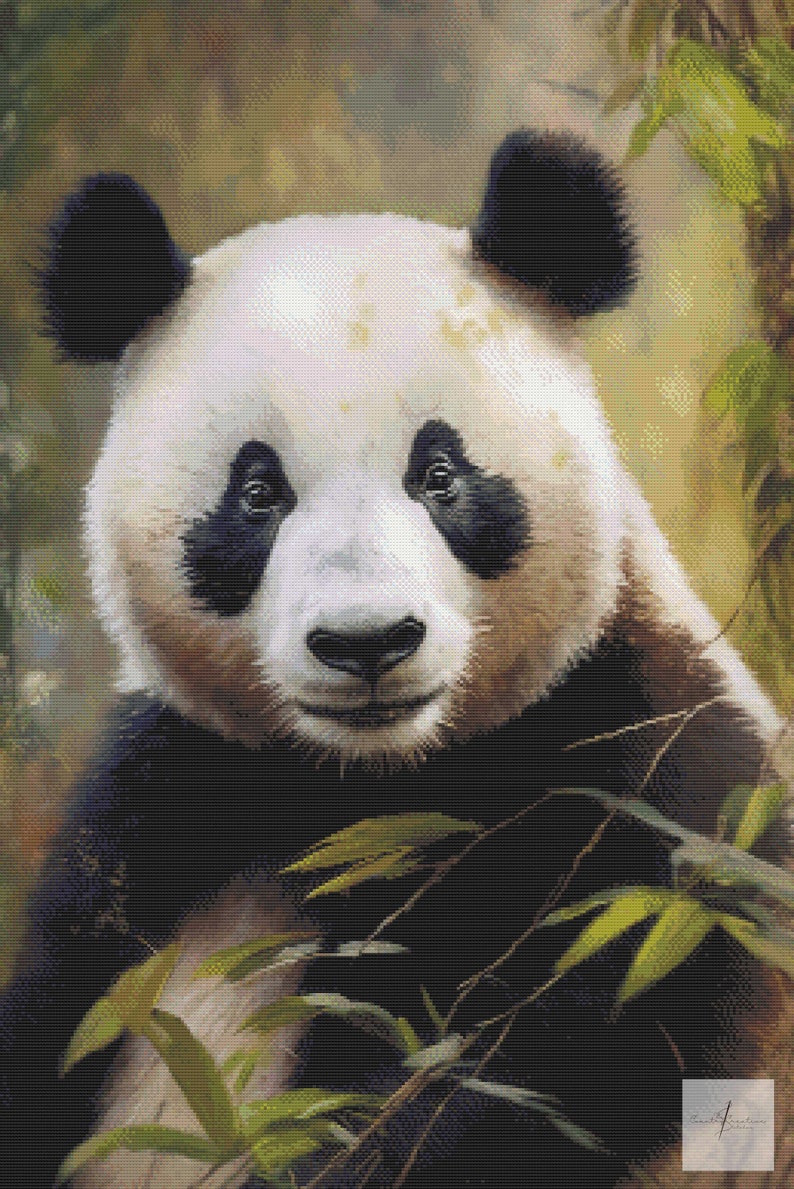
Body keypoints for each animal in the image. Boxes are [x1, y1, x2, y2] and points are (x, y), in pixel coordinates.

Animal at [0, 129, 791, 1189]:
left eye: (440, 474)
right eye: (258, 491)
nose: (367, 641)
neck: (369, 785)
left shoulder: (655, 790)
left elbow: (564, 1059)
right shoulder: (157, 811)